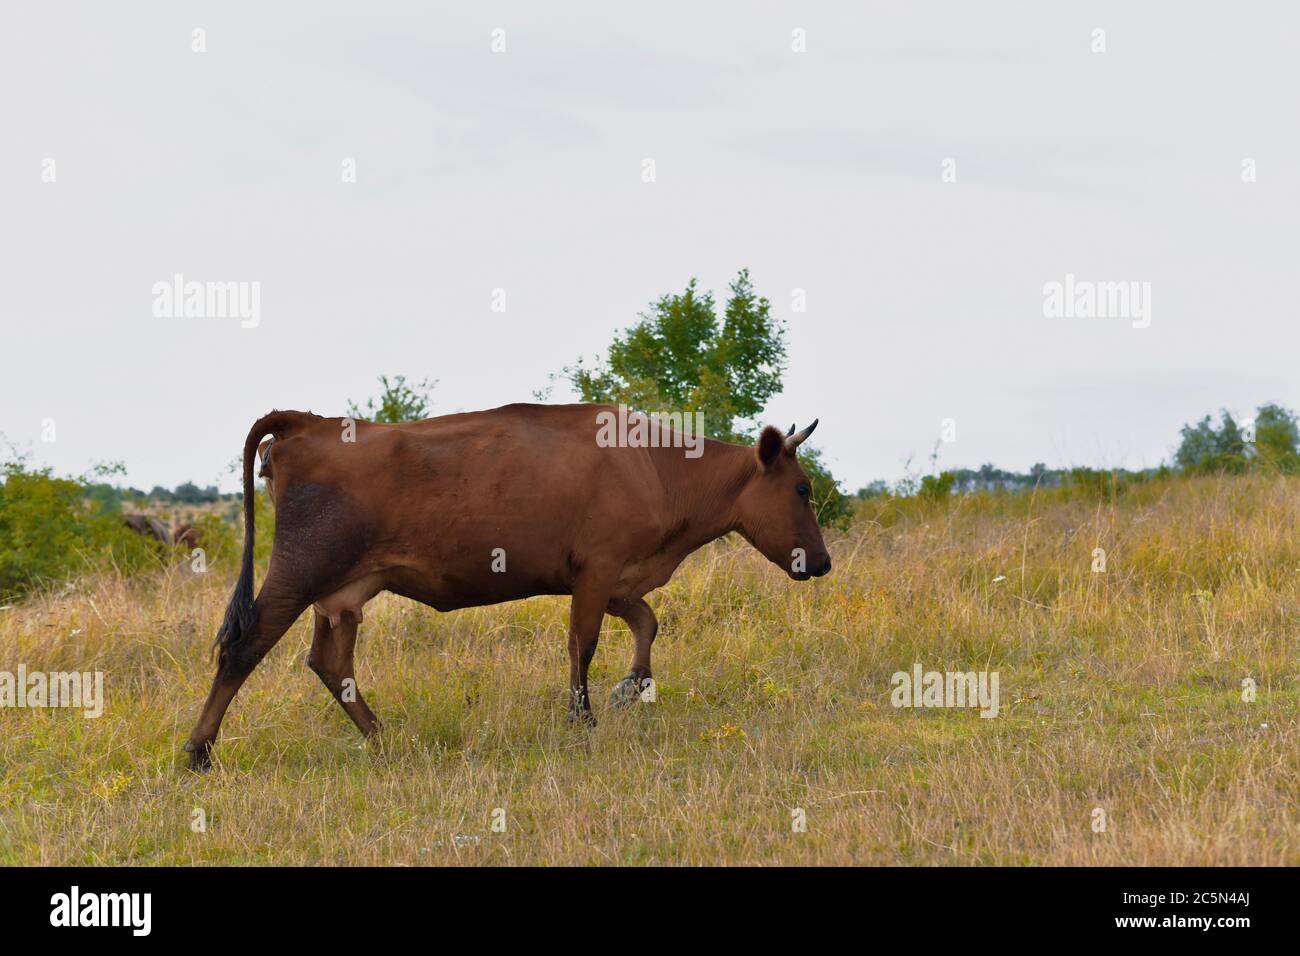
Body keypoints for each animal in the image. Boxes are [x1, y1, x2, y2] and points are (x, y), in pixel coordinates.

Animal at [184, 403, 832, 771]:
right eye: (802, 489)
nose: (823, 562)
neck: (656, 466)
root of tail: (308, 424)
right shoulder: (597, 571)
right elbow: (583, 645)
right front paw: (583, 720)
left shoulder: (614, 577)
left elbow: (647, 622)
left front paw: (629, 688)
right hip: (299, 574)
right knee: (243, 649)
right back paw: (198, 752)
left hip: (343, 593)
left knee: (330, 662)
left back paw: (386, 740)